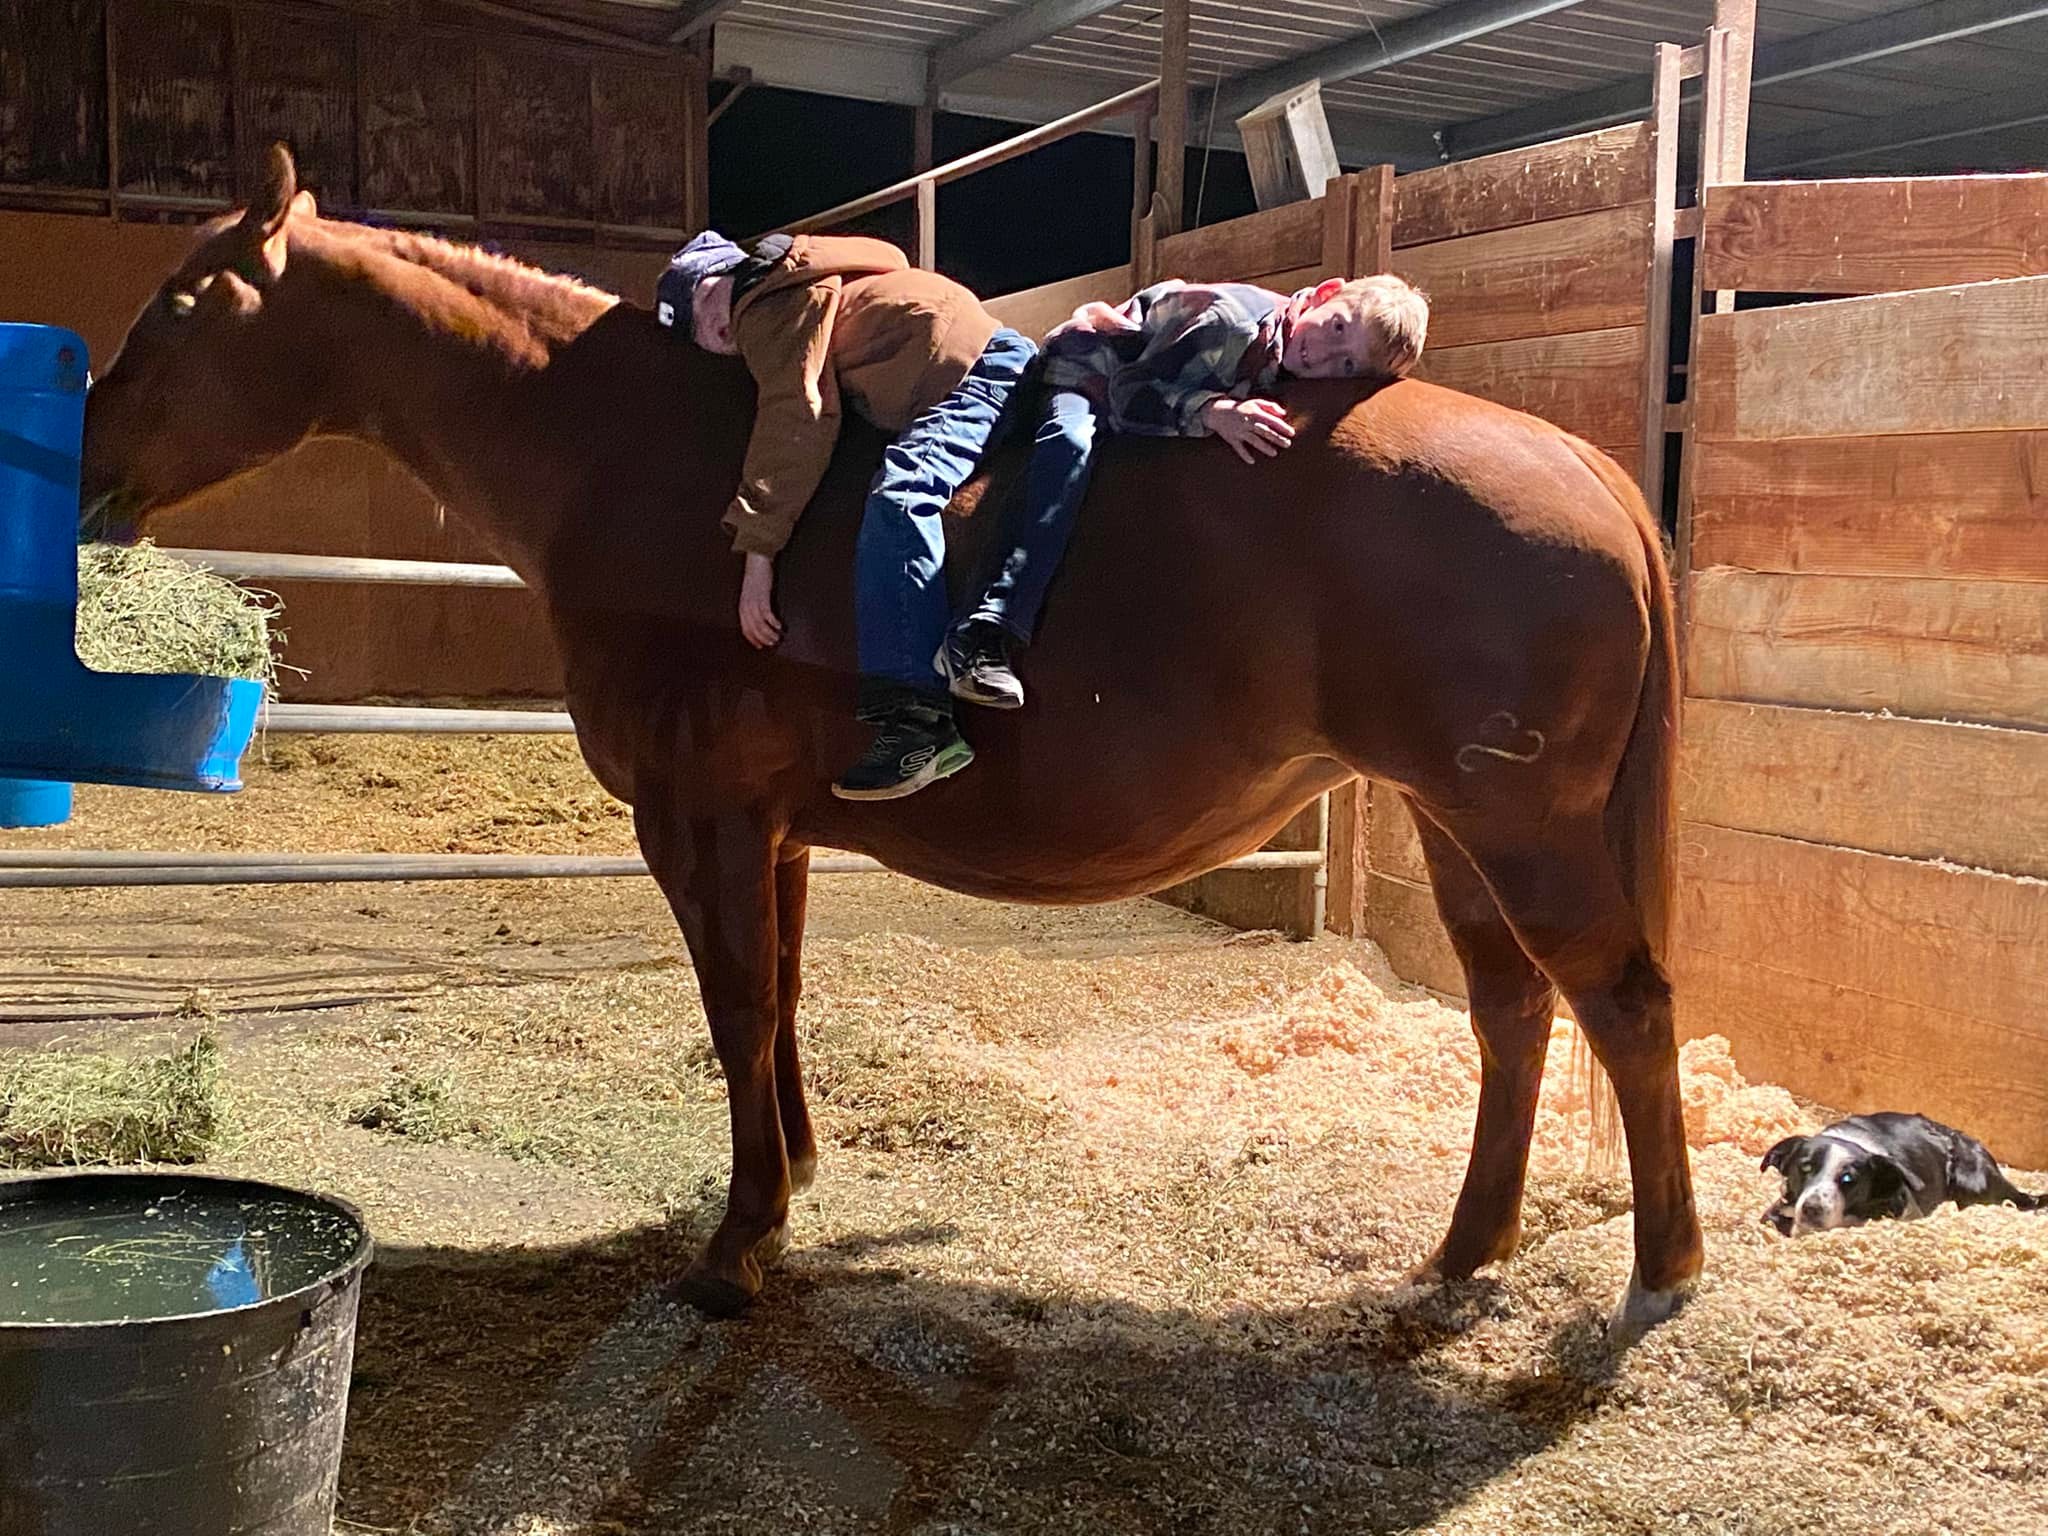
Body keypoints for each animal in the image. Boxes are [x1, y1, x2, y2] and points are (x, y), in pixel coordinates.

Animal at [79, 146, 1700, 1340]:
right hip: (1450, 824)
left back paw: (1659, 1276)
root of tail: (1590, 470)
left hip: (1522, 831)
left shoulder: (699, 821)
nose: (78, 465)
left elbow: (736, 1007)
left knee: (1621, 1006)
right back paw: (1465, 1251)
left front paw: (735, 1250)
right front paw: (789, 1177)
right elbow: (781, 1002)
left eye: (180, 309)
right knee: (1513, 1011)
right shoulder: (775, 832)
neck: (645, 457)